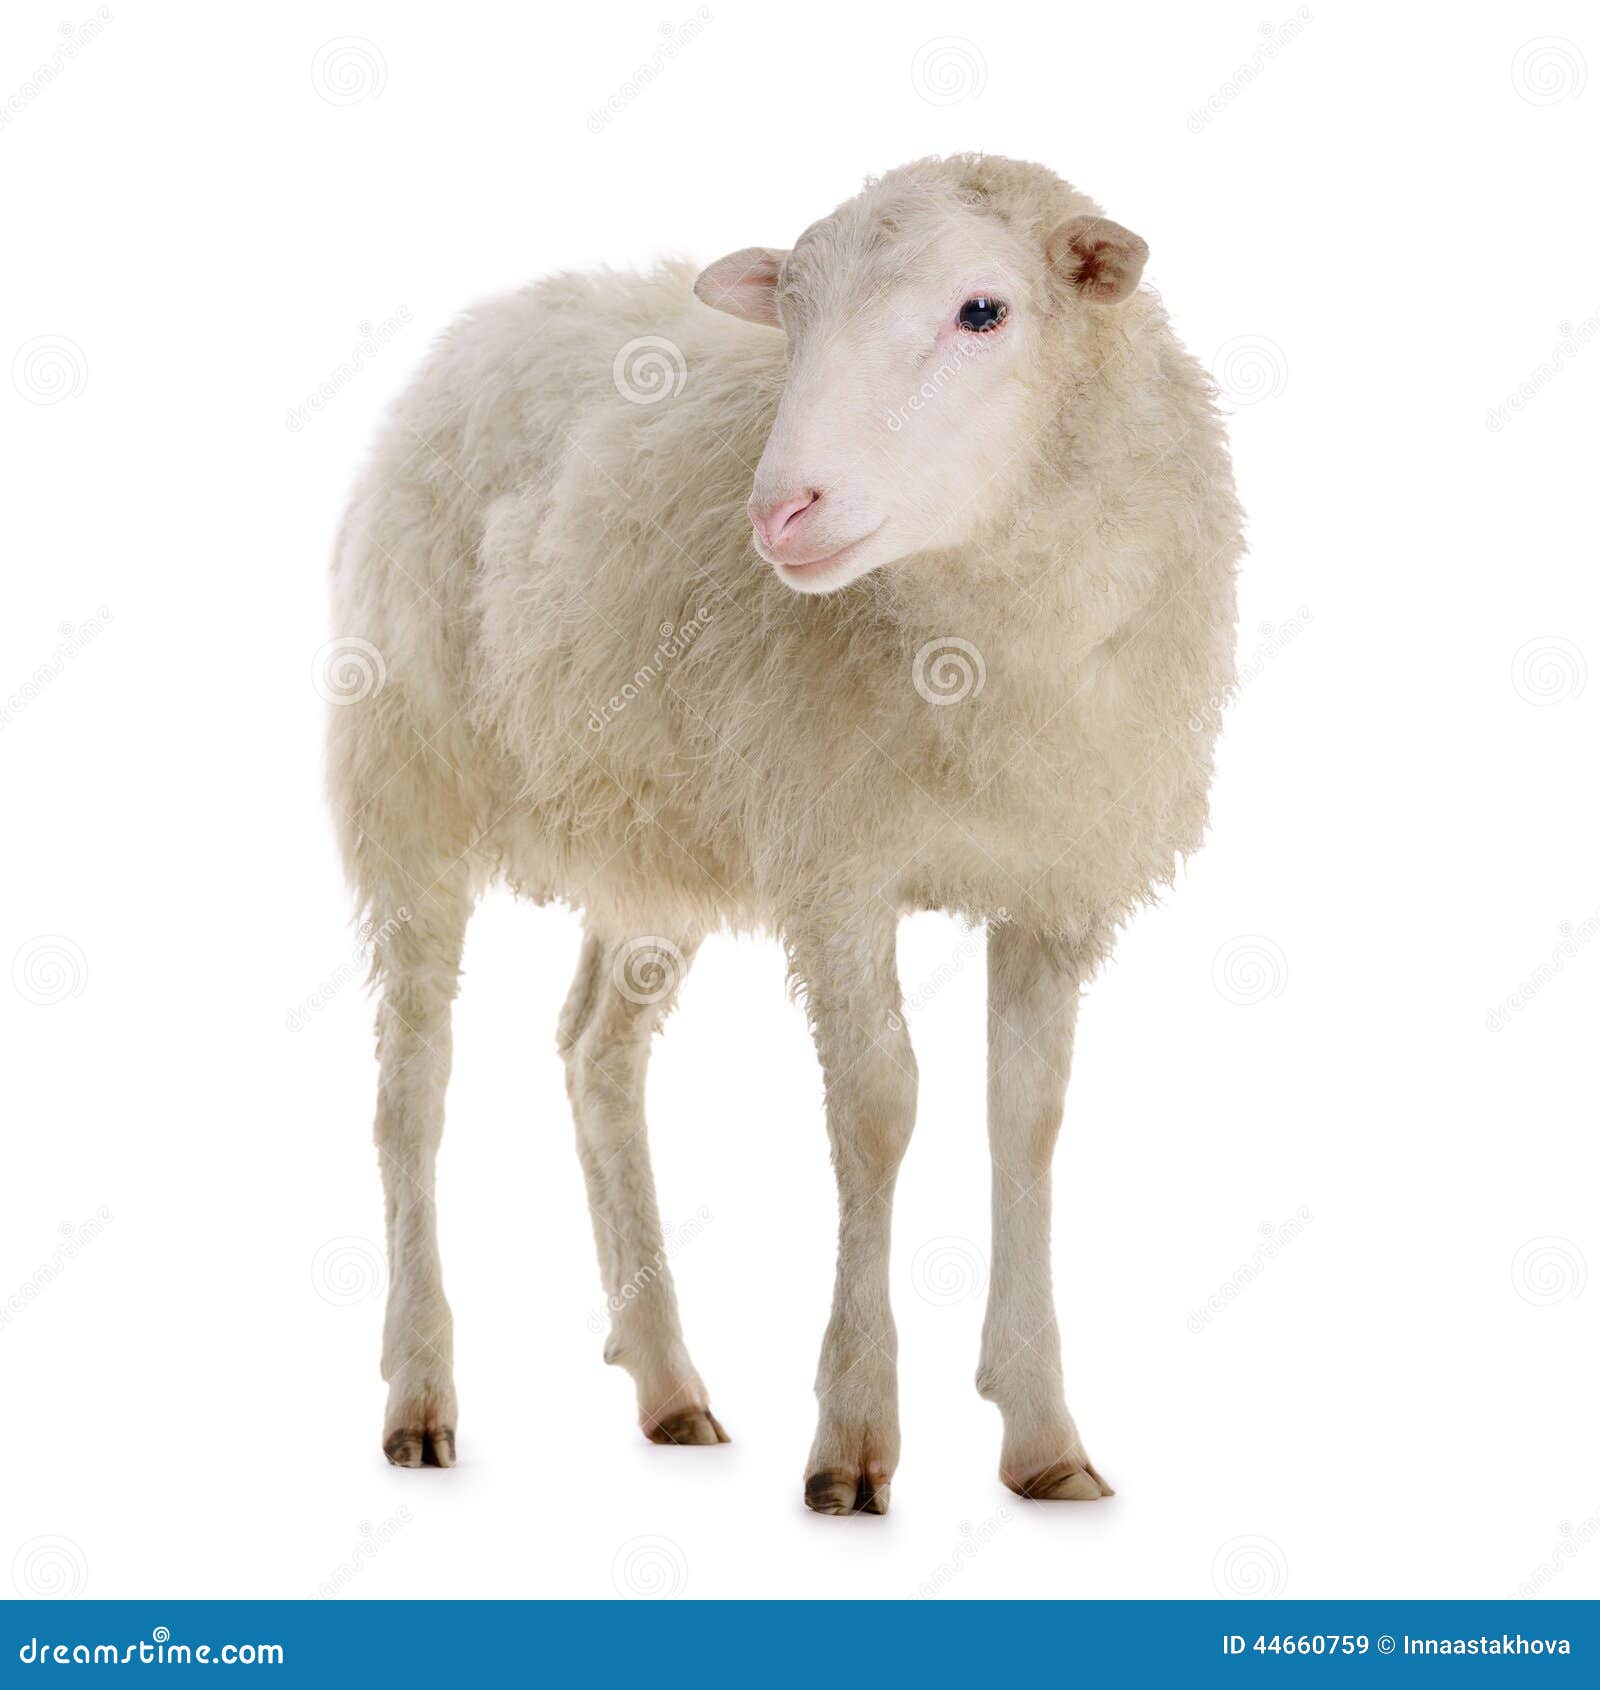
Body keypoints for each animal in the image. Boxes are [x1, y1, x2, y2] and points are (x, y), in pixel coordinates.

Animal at [326, 153, 1241, 1511]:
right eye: (793, 315)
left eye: (984, 311)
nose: (783, 510)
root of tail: (499, 315)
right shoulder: (837, 867)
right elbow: (877, 1109)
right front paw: (854, 1437)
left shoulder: (1052, 882)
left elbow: (1025, 1119)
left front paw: (1041, 1435)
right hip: (407, 785)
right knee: (411, 1092)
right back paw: (420, 1396)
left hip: (652, 842)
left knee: (595, 1054)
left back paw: (666, 1382)